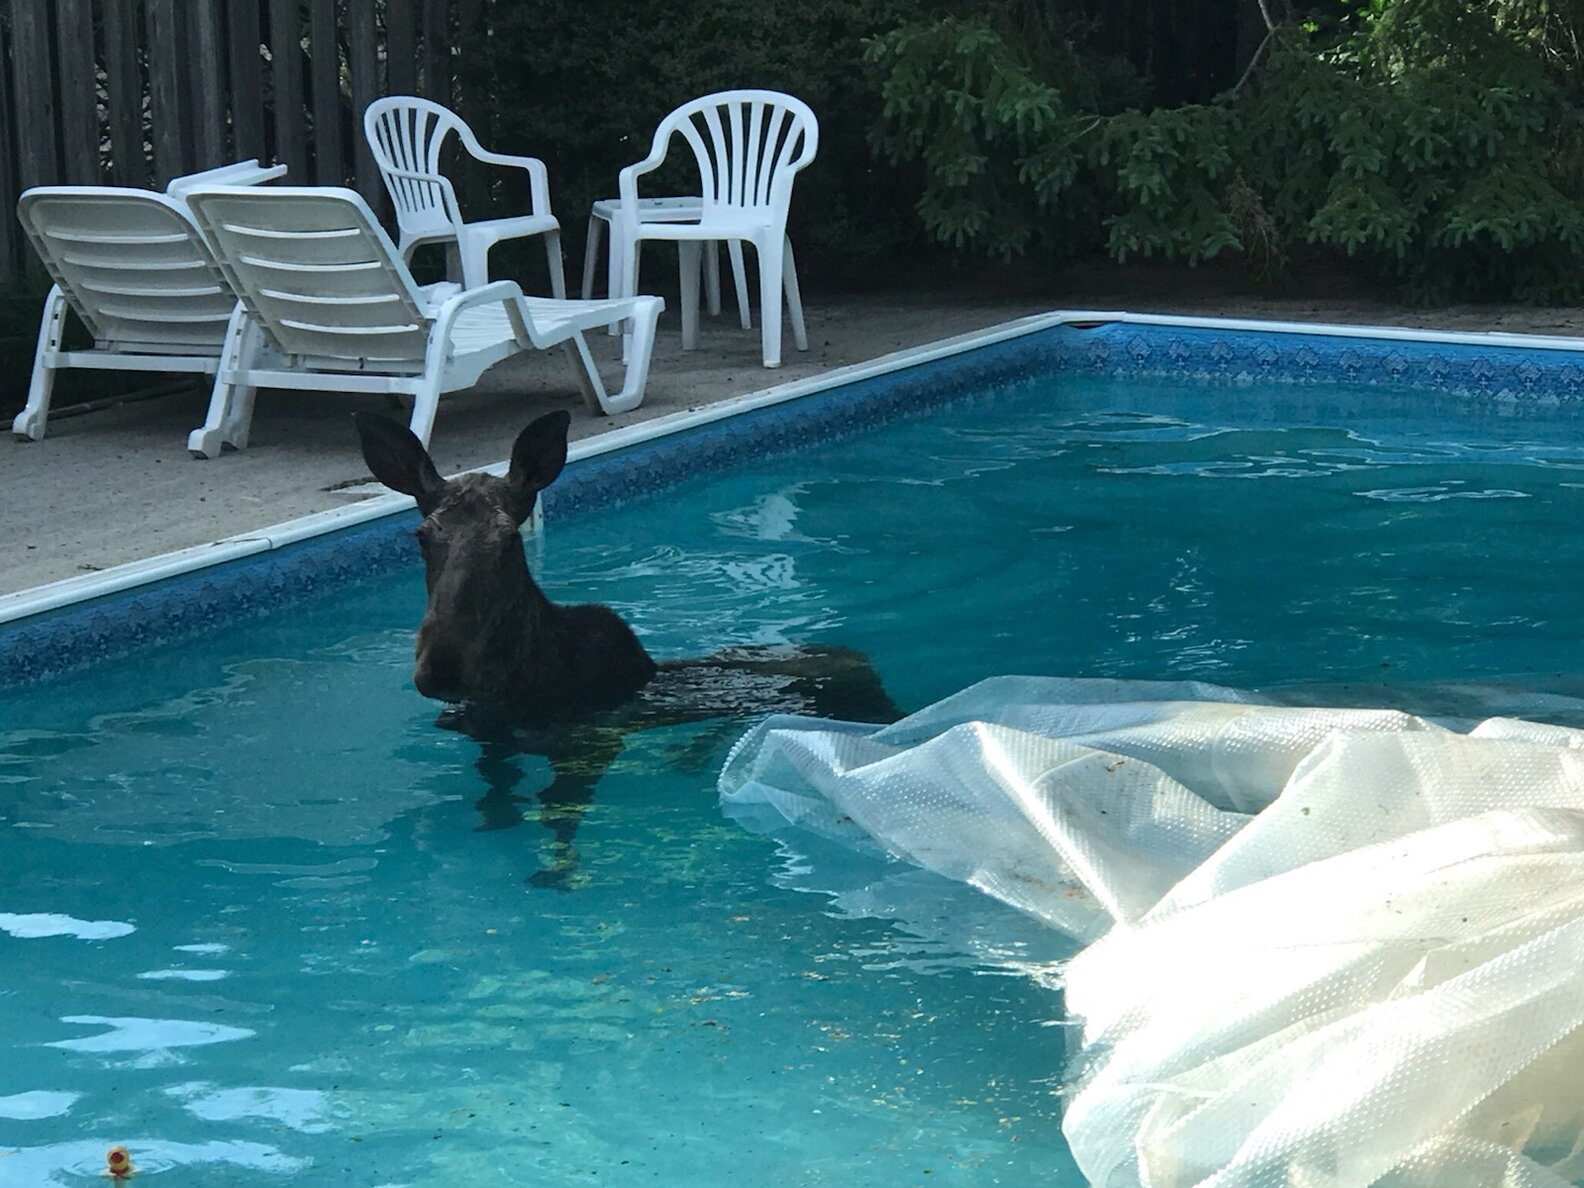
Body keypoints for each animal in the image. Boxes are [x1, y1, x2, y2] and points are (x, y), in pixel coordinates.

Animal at [355, 410, 899, 888]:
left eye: (509, 538)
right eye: (421, 536)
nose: (440, 668)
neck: (514, 678)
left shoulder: (588, 746)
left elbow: (559, 813)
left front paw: (557, 872)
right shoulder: (493, 742)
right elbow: (498, 798)